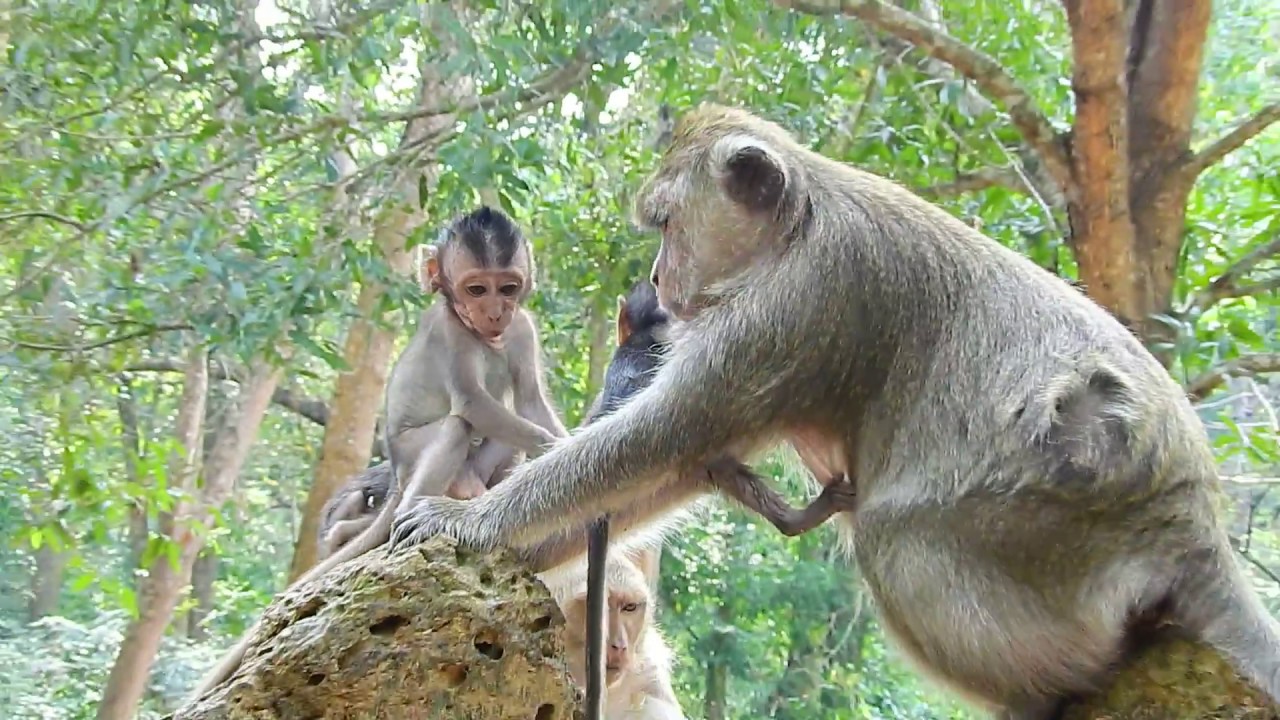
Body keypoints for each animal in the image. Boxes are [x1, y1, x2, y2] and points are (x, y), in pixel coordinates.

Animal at [184, 206, 567, 703]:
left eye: (508, 287)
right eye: (475, 289)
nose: (494, 311)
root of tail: (401, 480)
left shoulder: (522, 328)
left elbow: (529, 403)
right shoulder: (449, 331)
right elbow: (472, 404)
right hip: (409, 454)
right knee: (456, 427)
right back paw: (418, 515)